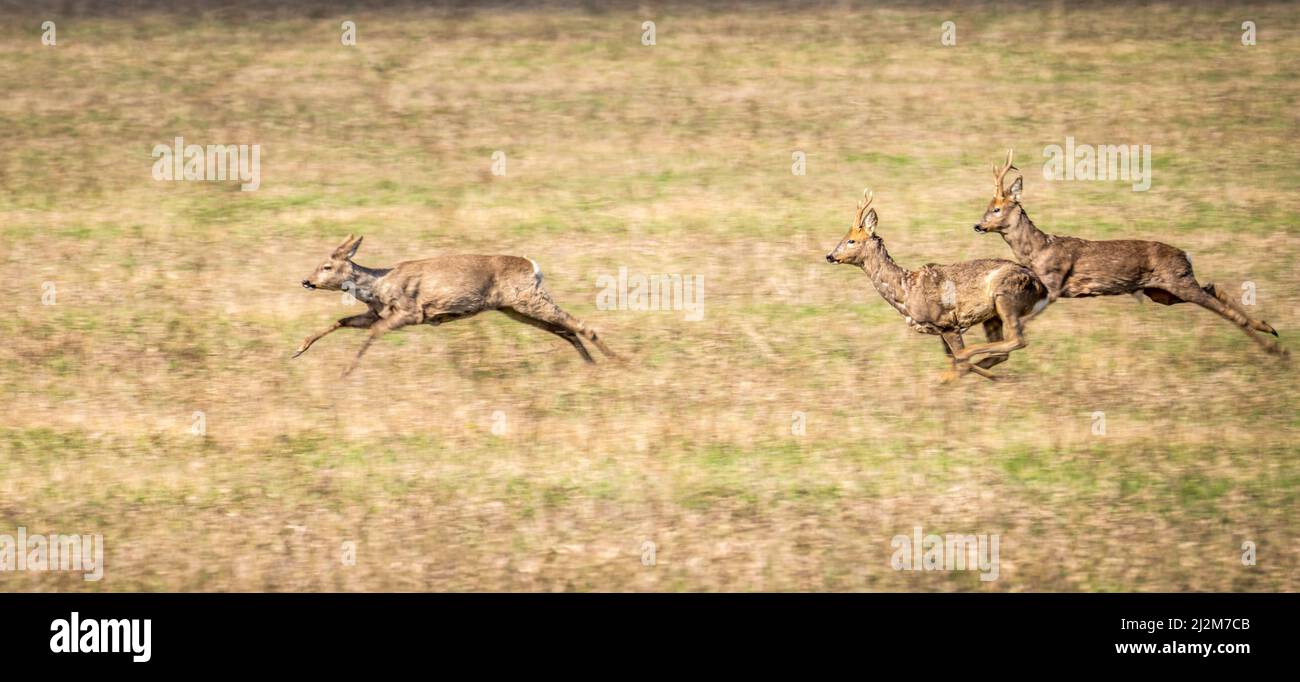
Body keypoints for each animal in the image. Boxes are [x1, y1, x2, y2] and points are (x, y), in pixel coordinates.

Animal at [294, 235, 618, 376]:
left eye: (326, 266)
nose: (306, 281)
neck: (378, 287)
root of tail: (533, 266)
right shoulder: (375, 314)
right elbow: (342, 321)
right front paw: (299, 348)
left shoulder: (411, 311)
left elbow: (373, 333)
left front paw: (346, 371)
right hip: (515, 308)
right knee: (565, 330)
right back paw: (592, 364)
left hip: (527, 299)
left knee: (579, 325)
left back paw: (618, 361)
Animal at [826, 189, 1050, 381]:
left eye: (851, 240)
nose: (830, 256)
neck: (905, 291)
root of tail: (1041, 287)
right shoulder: (940, 330)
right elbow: (951, 358)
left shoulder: (947, 322)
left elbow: (957, 360)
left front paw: (947, 378)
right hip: (992, 315)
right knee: (1001, 351)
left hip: (1005, 296)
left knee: (1015, 340)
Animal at [972, 150, 1285, 357]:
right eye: (987, 207)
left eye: (996, 208)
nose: (978, 225)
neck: (1038, 249)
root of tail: (1186, 255)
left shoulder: (1054, 285)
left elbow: (1022, 323)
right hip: (1163, 292)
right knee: (1212, 286)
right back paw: (1269, 328)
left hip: (1177, 281)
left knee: (1216, 304)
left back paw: (1274, 348)